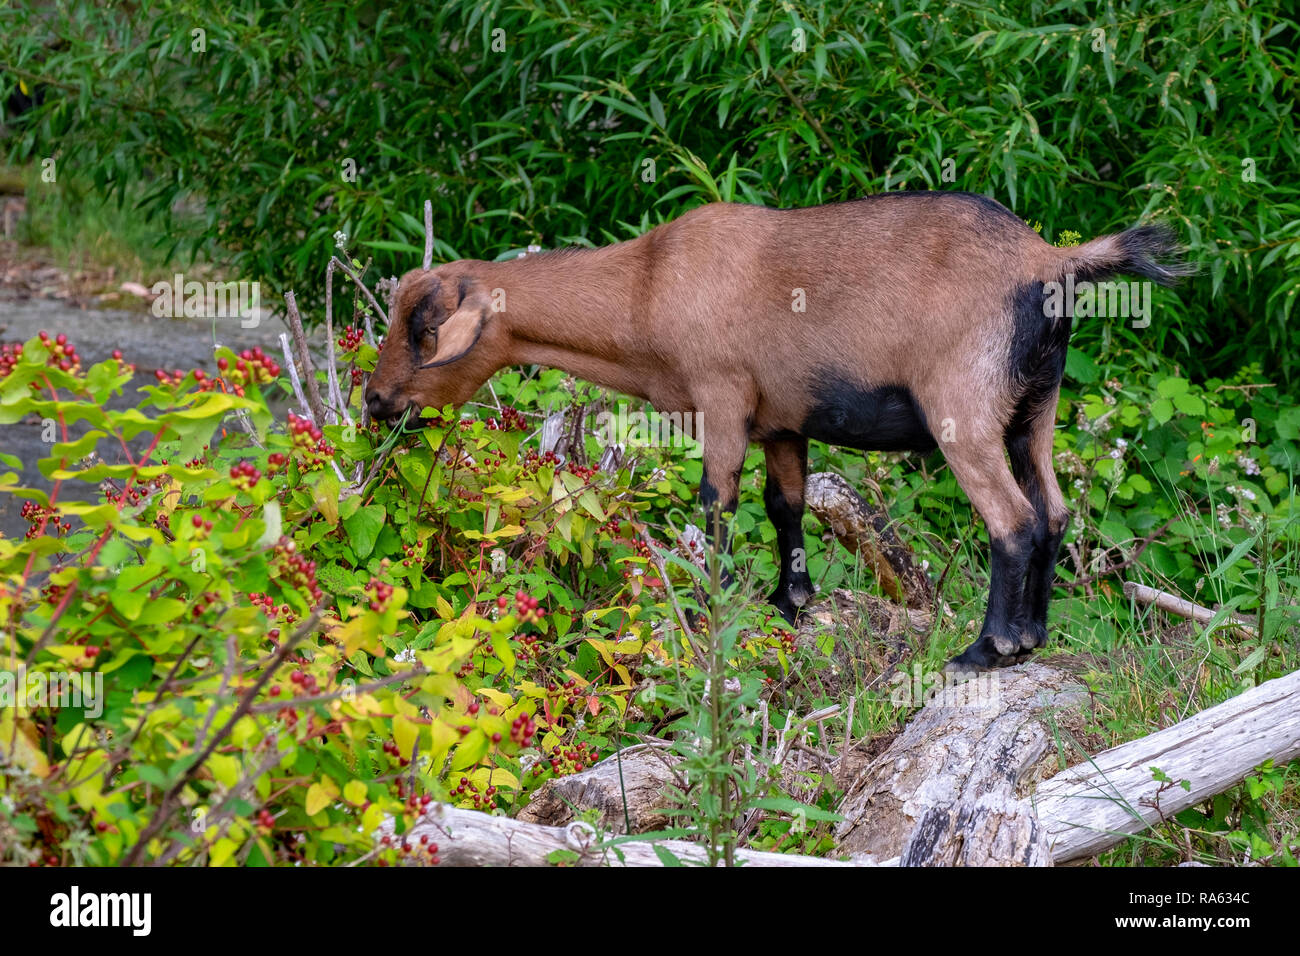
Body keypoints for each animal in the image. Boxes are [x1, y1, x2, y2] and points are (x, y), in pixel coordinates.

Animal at [366, 191, 1190, 671]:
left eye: (425, 330)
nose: (375, 402)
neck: (647, 284)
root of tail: (1049, 259)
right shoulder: (784, 421)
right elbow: (784, 506)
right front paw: (789, 604)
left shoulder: (722, 396)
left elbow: (716, 504)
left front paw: (717, 608)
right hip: (1034, 412)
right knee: (1052, 511)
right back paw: (1036, 636)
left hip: (964, 407)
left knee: (1012, 521)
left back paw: (989, 650)